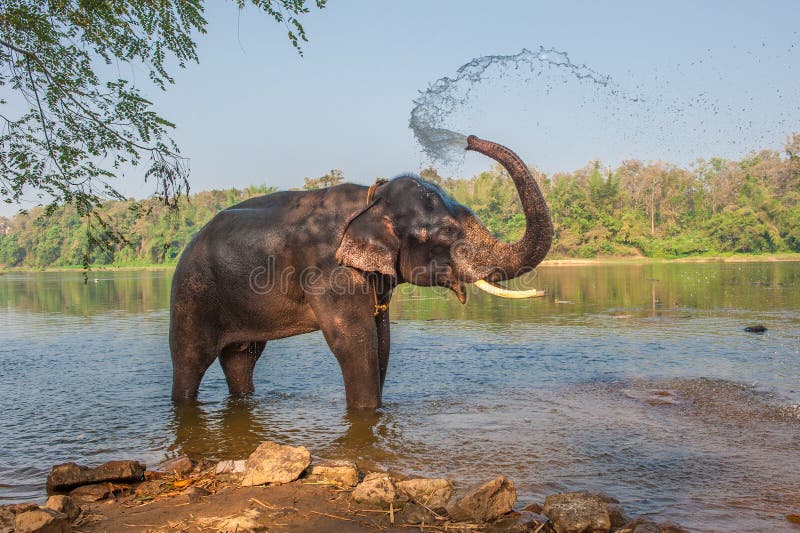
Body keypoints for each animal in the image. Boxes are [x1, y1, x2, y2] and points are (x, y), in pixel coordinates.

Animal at [169, 135, 553, 409]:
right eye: (446, 232)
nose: (470, 140)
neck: (372, 198)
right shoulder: (328, 270)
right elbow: (354, 341)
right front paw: (367, 413)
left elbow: (382, 339)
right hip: (193, 291)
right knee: (190, 359)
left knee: (241, 358)